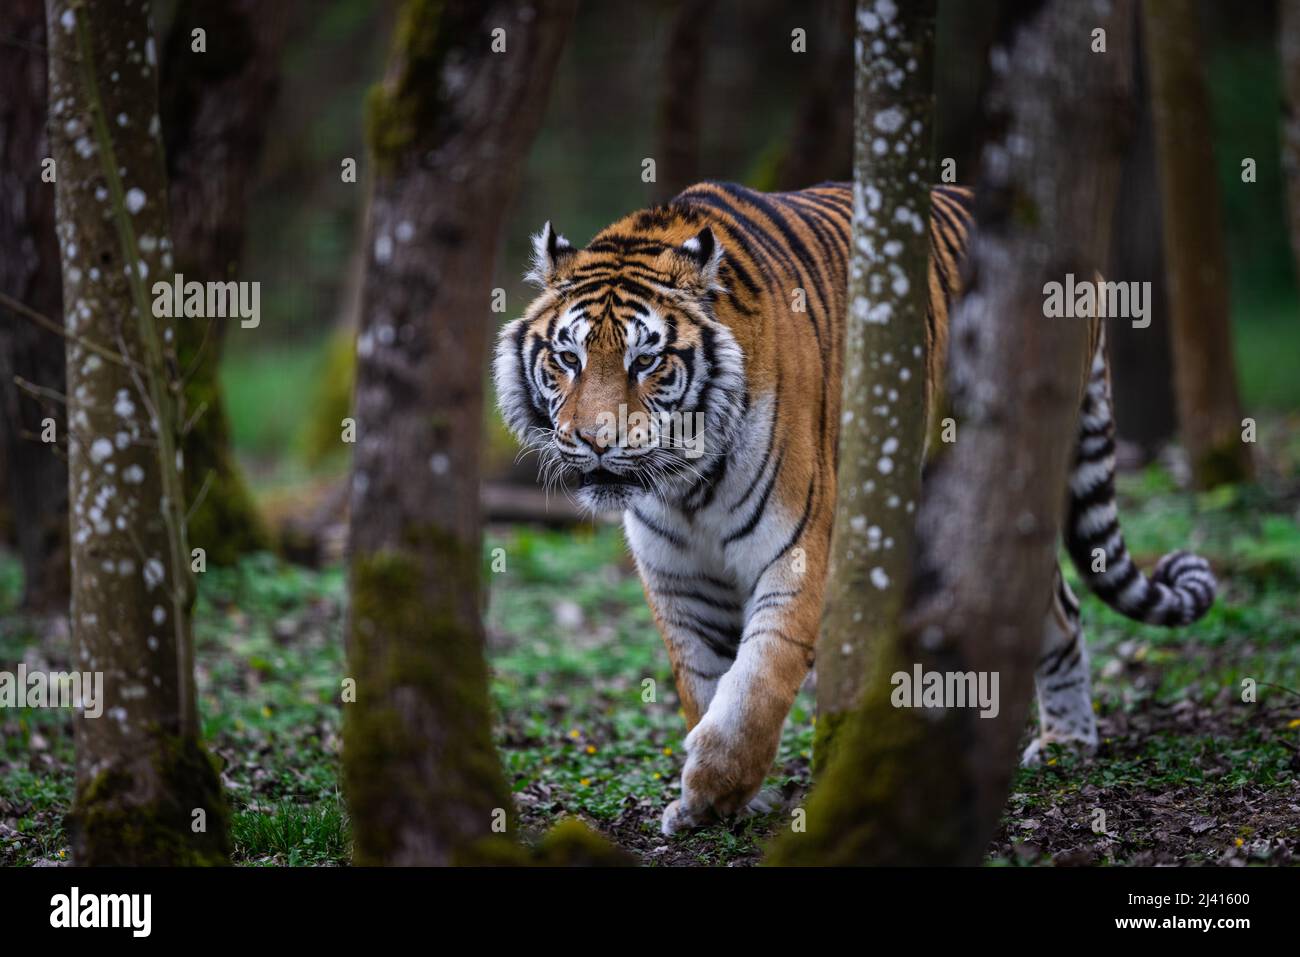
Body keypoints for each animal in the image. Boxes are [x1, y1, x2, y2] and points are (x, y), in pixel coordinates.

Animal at [493, 180, 1217, 836]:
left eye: (647, 361)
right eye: (567, 358)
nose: (595, 441)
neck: (685, 484)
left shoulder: (800, 553)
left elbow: (756, 683)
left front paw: (712, 788)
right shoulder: (679, 579)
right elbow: (702, 683)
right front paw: (724, 803)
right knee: (1058, 604)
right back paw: (1060, 738)